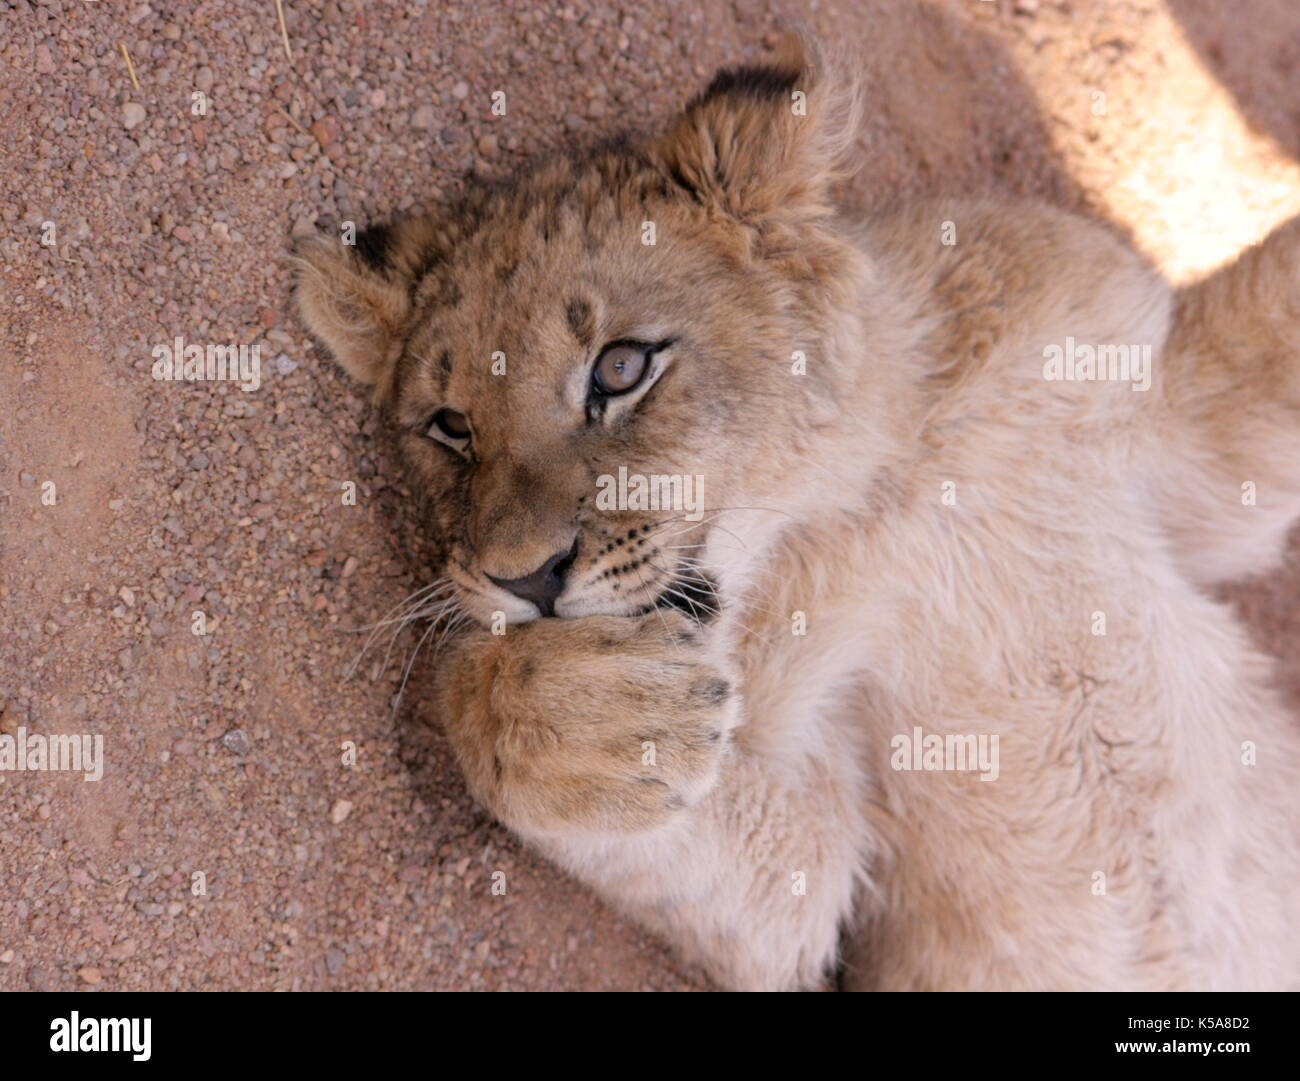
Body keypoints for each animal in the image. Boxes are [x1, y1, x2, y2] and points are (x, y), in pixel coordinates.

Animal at [294, 36, 1300, 990]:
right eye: (450, 427)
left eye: (621, 368)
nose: (524, 578)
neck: (875, 484)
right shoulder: (819, 850)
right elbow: (758, 873)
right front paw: (588, 713)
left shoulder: (1158, 404)